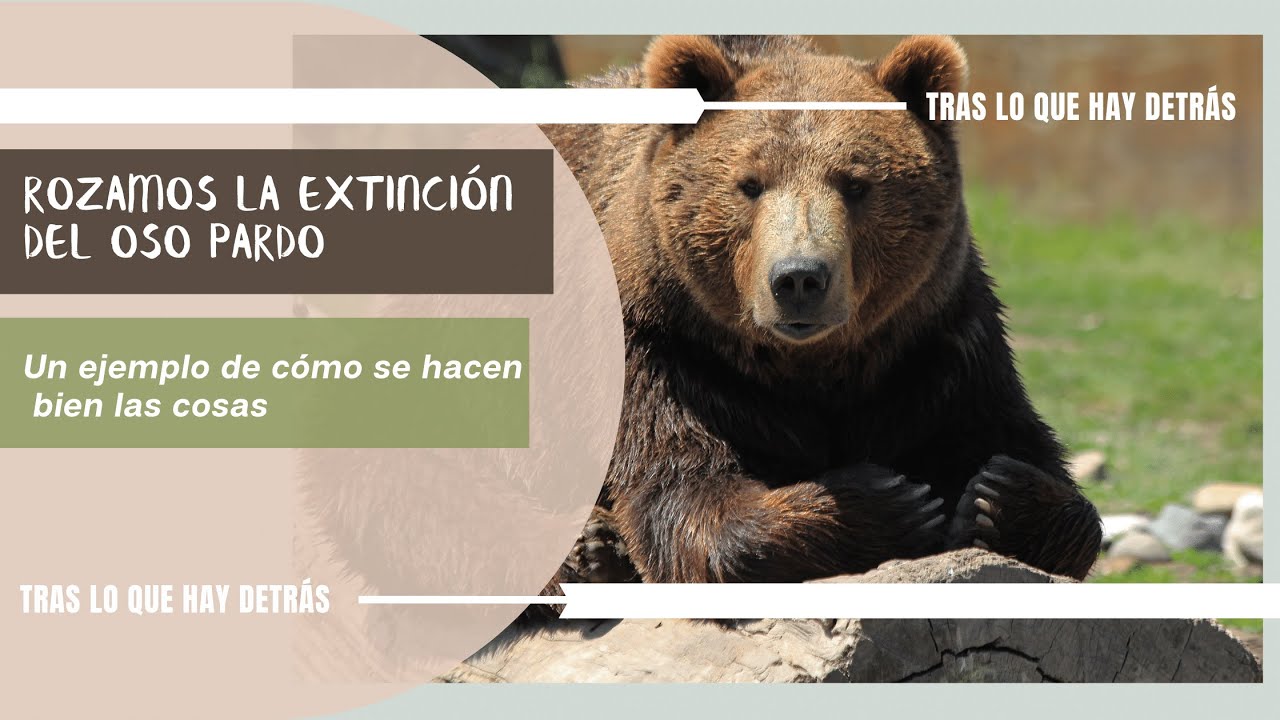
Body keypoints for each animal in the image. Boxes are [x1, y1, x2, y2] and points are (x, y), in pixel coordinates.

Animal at [541, 34, 1103, 590]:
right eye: (750, 183)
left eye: (856, 183)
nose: (799, 278)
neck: (808, 367)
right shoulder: (661, 348)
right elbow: (688, 495)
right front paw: (891, 501)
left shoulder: (937, 344)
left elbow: (1018, 448)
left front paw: (997, 493)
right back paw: (593, 551)